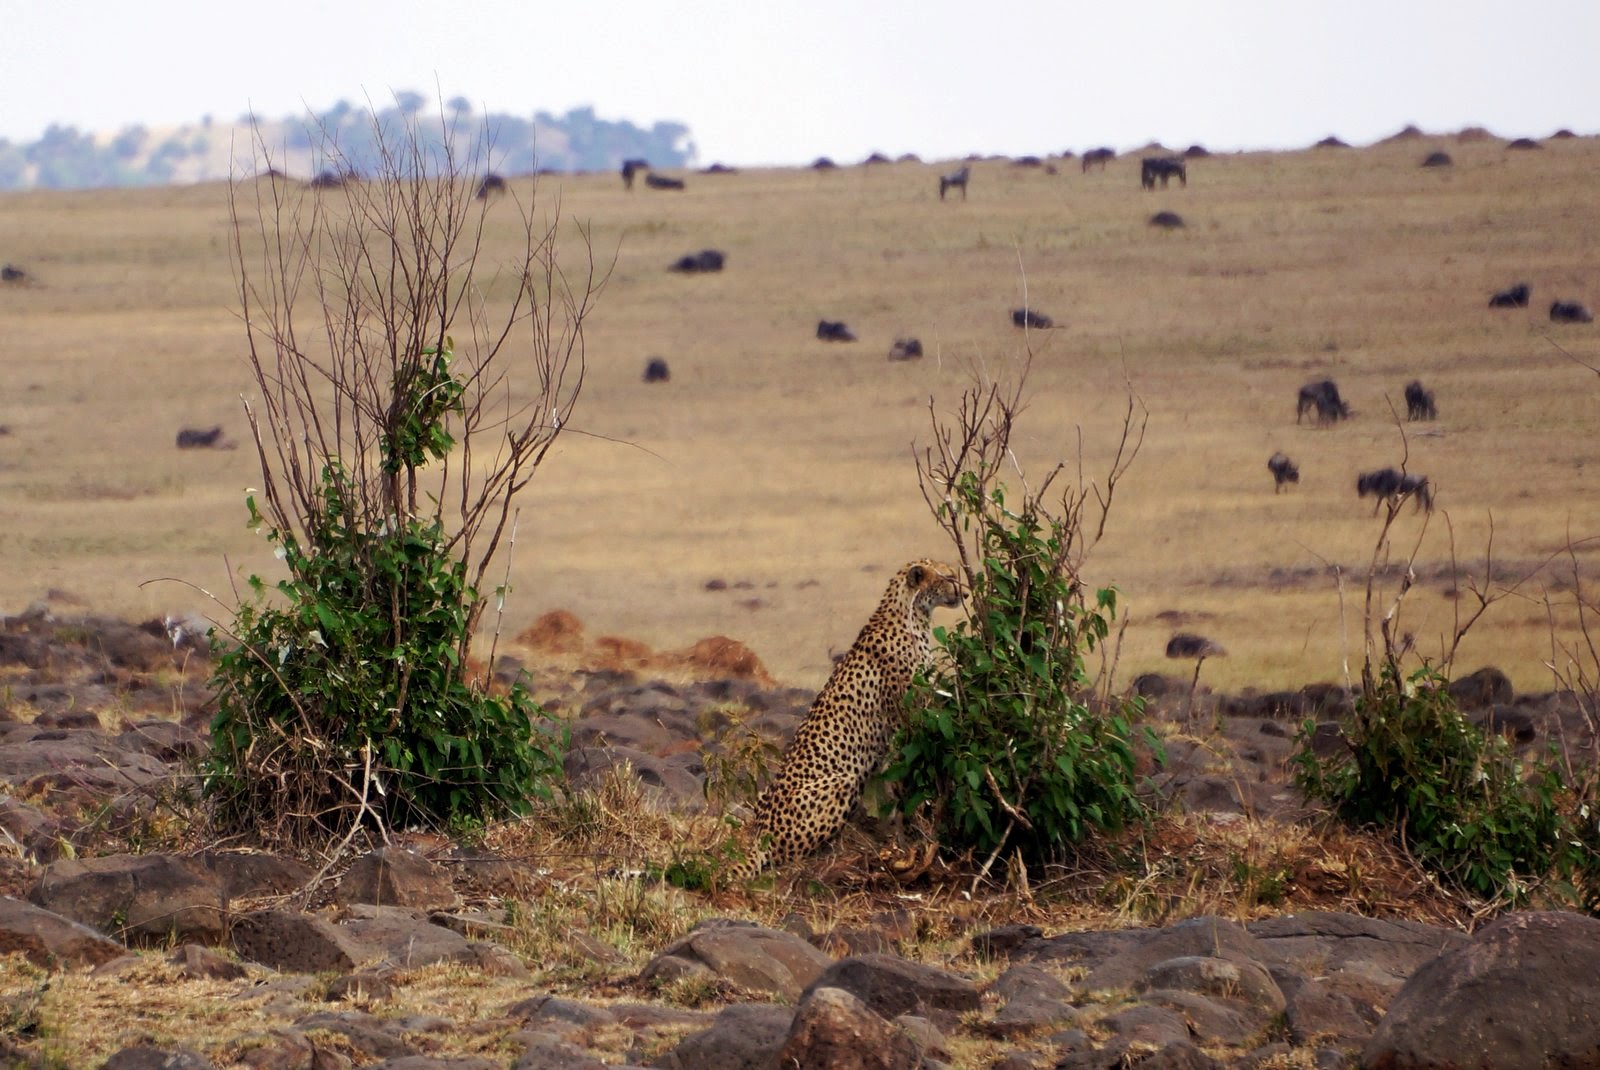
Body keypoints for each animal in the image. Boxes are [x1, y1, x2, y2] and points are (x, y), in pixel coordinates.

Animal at [727, 559, 963, 880]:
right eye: (948, 577)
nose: (964, 592)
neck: (912, 613)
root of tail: (762, 831)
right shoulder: (907, 716)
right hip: (845, 782)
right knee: (786, 856)